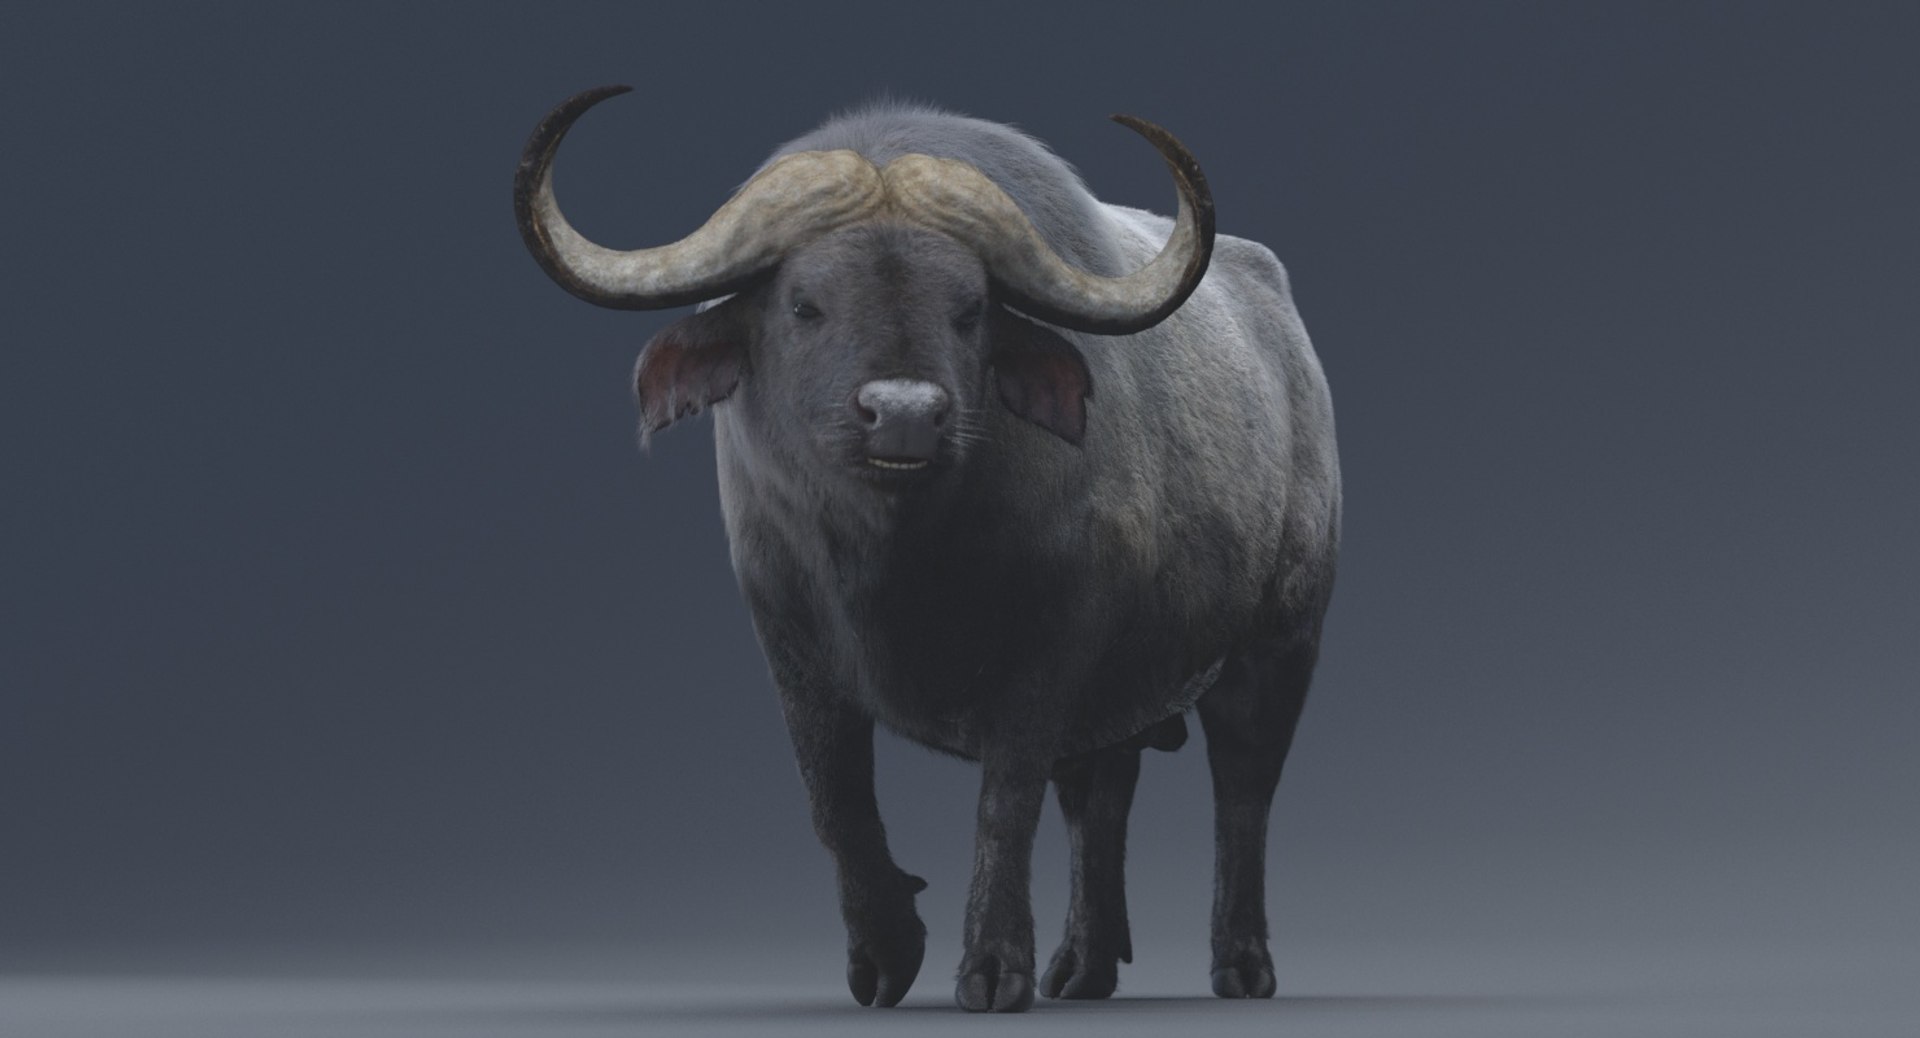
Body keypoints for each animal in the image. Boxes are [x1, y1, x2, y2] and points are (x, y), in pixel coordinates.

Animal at [514, 86, 1340, 1013]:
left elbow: (1006, 800)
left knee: (1242, 789)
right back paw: (1083, 966)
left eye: (970, 308)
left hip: (1275, 645)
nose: (904, 415)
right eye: (804, 304)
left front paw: (992, 965)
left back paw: (1240, 962)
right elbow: (835, 799)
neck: (899, 558)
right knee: (1101, 800)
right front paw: (886, 953)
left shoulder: (1049, 653)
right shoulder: (789, 642)